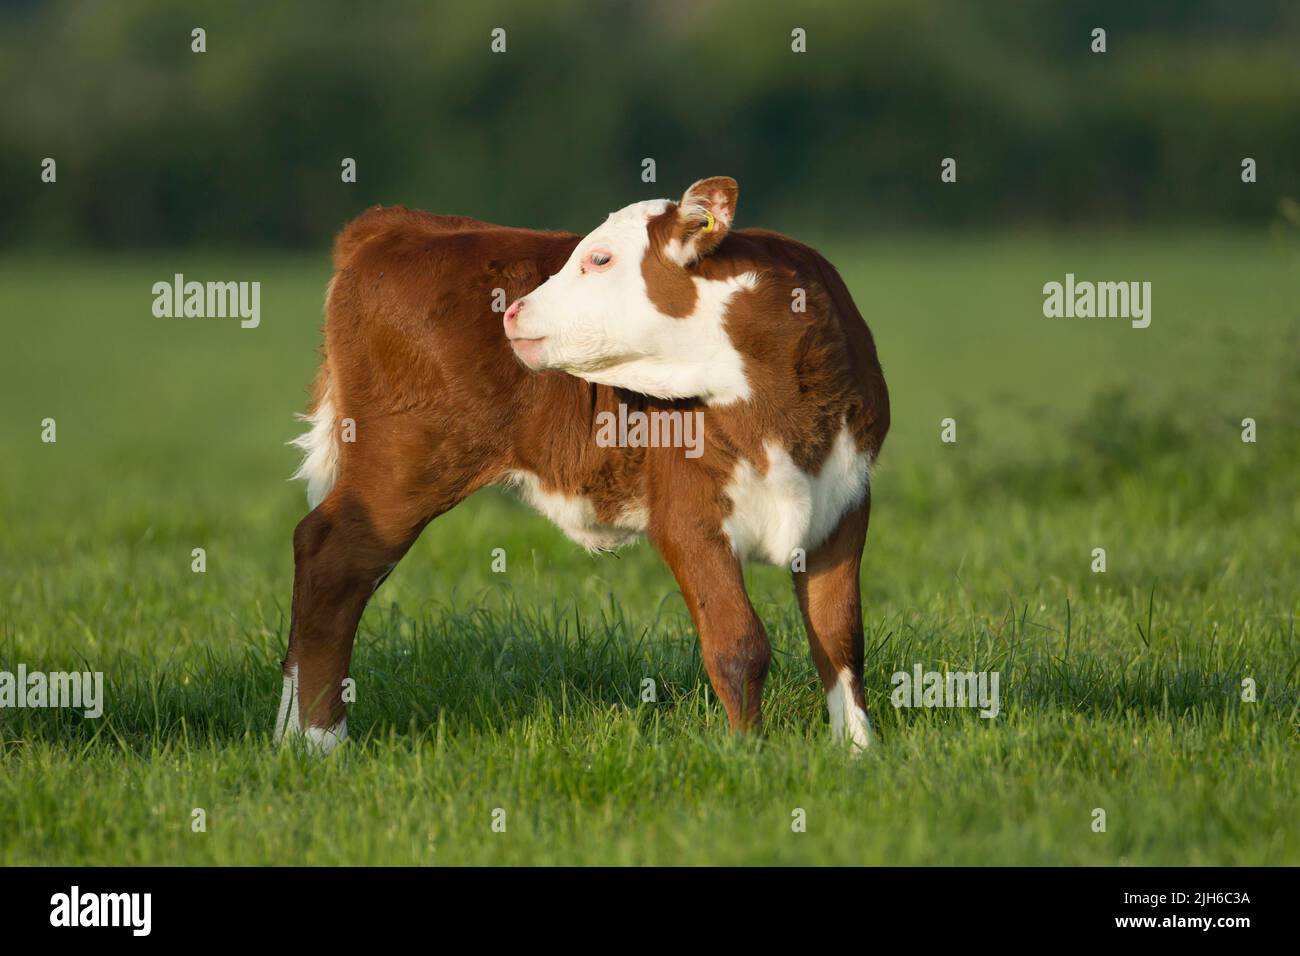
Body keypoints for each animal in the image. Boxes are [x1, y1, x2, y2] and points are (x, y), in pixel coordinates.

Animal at [278, 177, 890, 754]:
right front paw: (748, 756)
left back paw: (288, 734)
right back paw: (320, 741)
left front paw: (859, 751)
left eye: (599, 258)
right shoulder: (687, 514)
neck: (778, 417)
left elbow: (840, 635)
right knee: (330, 560)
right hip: (400, 463)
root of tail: (396, 224)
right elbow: (739, 643)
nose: (514, 310)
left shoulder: (846, 501)